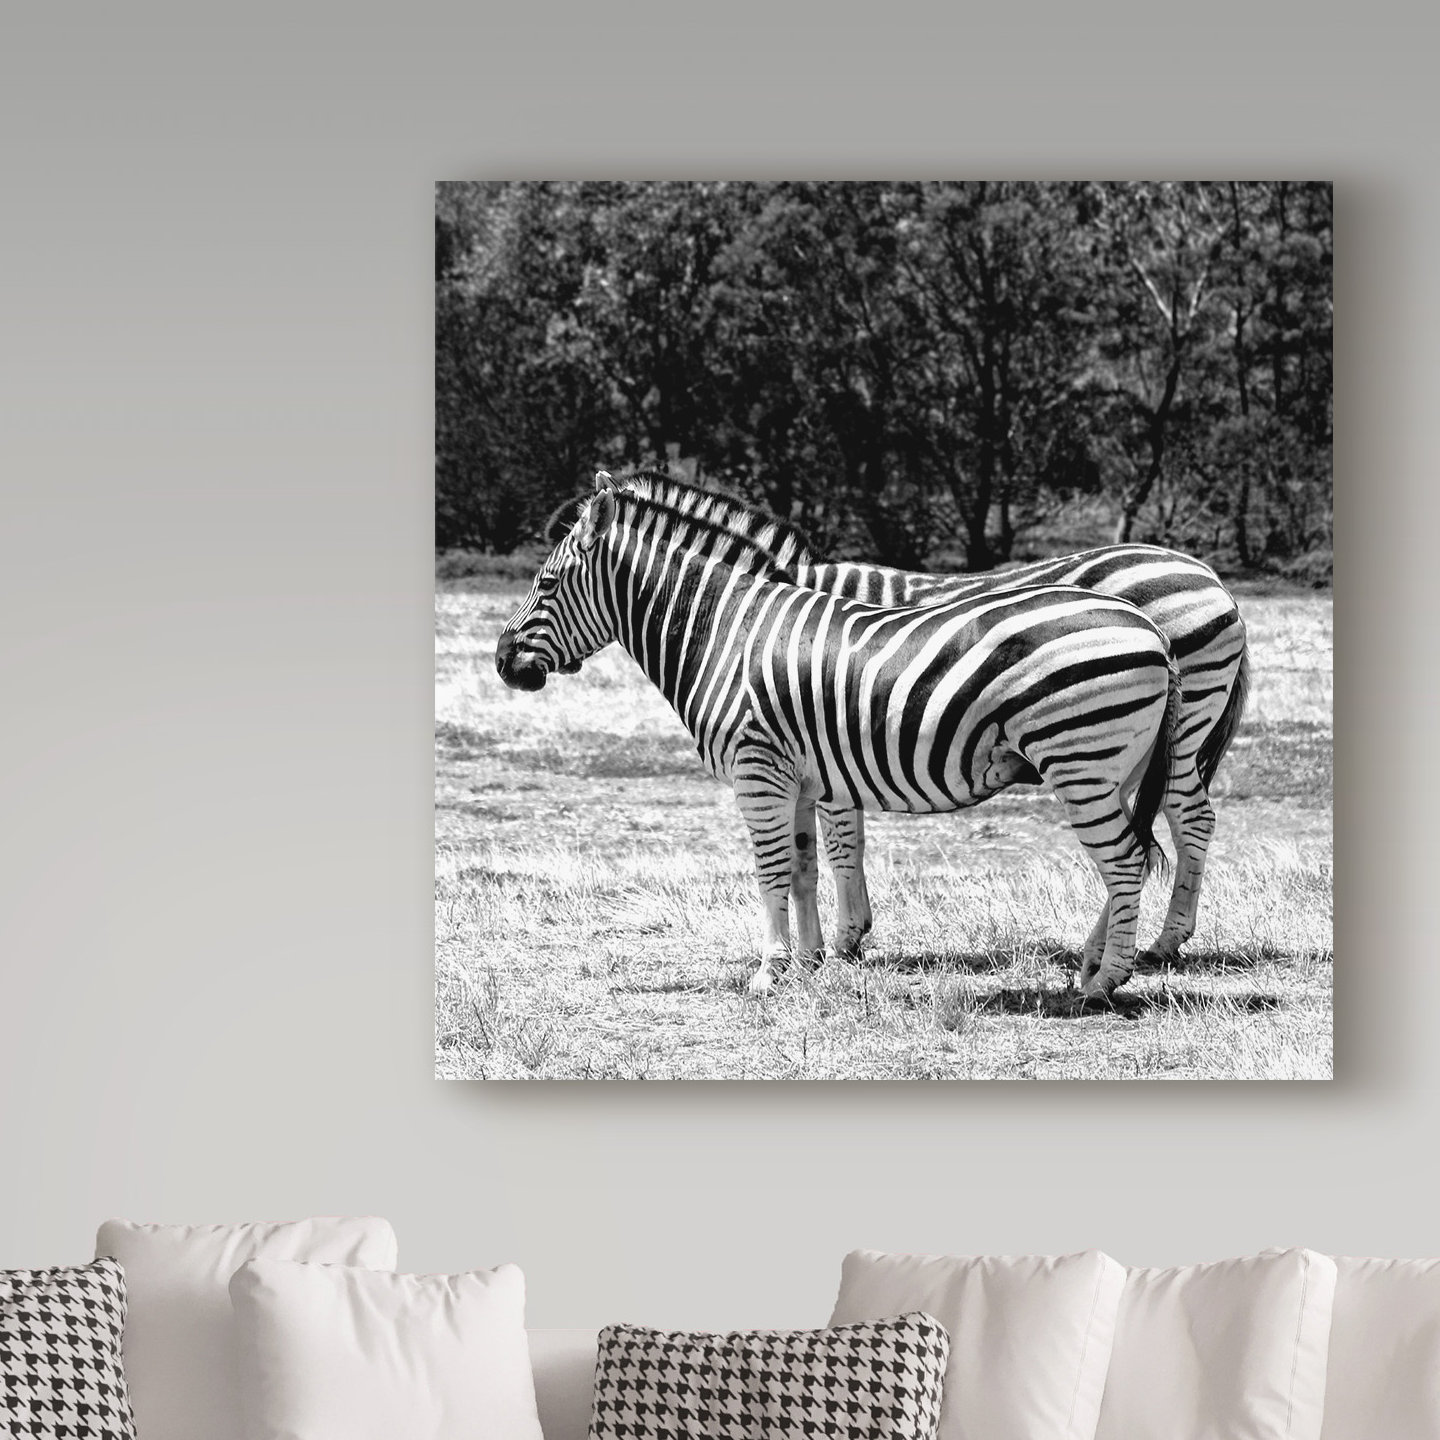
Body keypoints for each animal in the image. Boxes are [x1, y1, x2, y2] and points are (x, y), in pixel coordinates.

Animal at [552, 470, 1249, 988]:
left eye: (547, 583)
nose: (521, 670)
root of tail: (1211, 579)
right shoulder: (829, 756)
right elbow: (824, 852)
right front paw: (835, 945)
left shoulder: (819, 752)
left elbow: (836, 849)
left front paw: (838, 944)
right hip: (1141, 749)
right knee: (1156, 833)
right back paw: (1116, 953)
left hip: (1156, 734)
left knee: (1183, 825)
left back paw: (1153, 950)